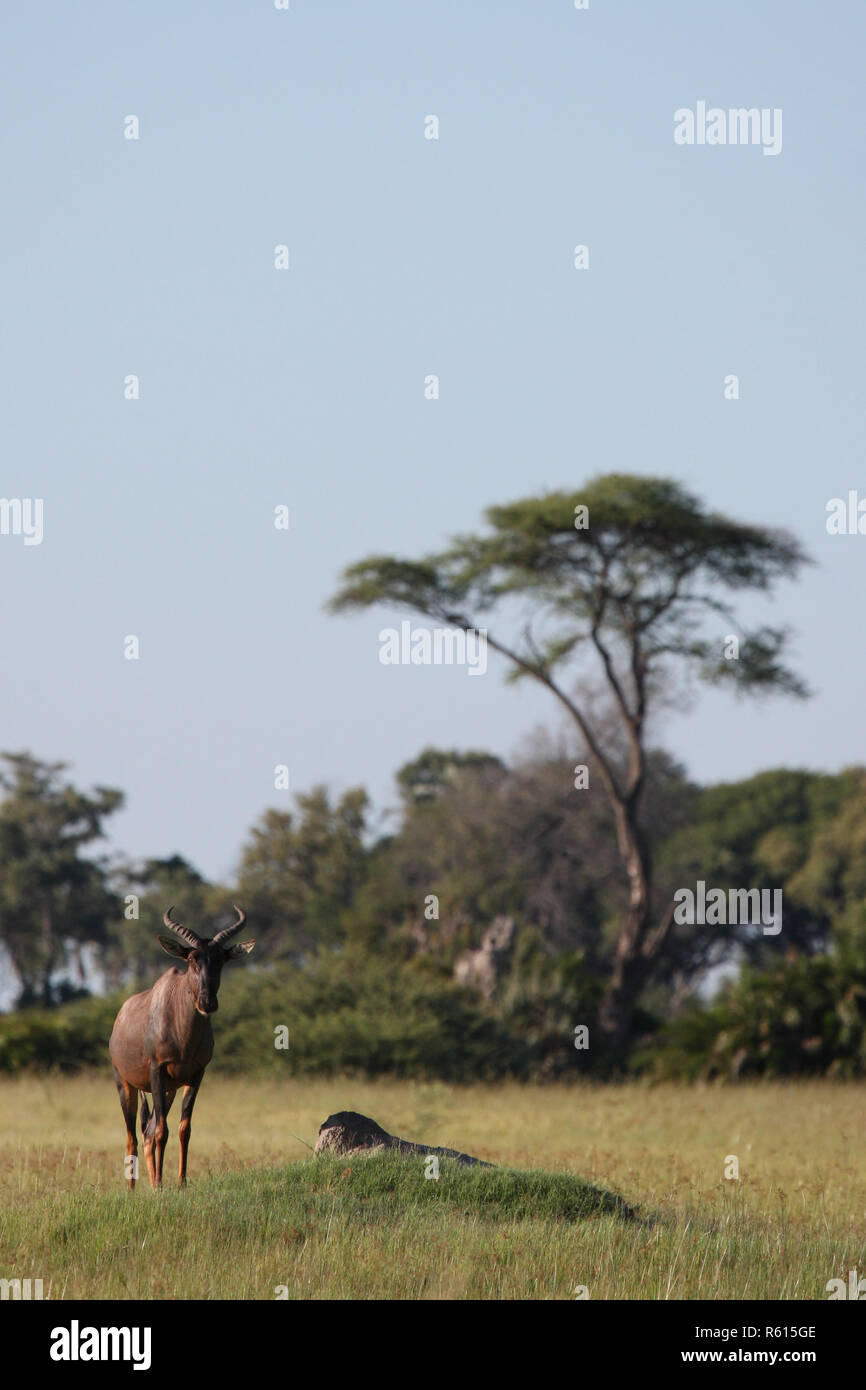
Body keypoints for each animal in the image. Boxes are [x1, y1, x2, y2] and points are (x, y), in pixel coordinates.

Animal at [109, 905, 255, 1190]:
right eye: (192, 959)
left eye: (221, 959)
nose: (207, 1003)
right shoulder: (157, 1071)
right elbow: (162, 1131)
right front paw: (161, 1186)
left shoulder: (196, 1075)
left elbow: (183, 1128)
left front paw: (181, 1183)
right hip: (126, 1083)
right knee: (133, 1136)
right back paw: (134, 1190)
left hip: (169, 1090)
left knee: (148, 1132)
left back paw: (153, 1183)